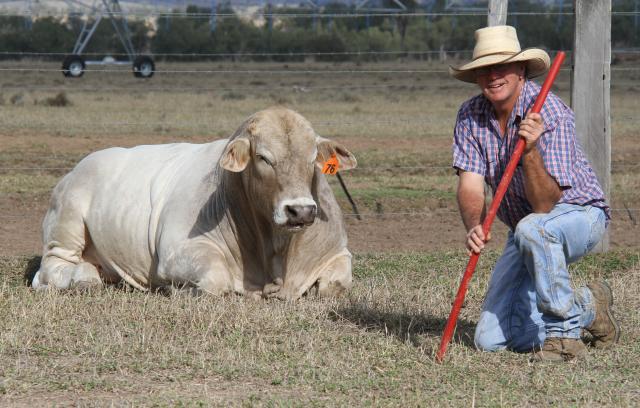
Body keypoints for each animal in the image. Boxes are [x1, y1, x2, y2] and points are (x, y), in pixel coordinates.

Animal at [32, 107, 357, 300]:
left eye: (313, 158)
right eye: (263, 157)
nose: (300, 210)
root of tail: (74, 170)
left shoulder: (338, 253)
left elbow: (336, 285)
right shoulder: (178, 252)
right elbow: (215, 280)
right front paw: (179, 289)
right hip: (67, 225)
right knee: (50, 270)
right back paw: (82, 277)